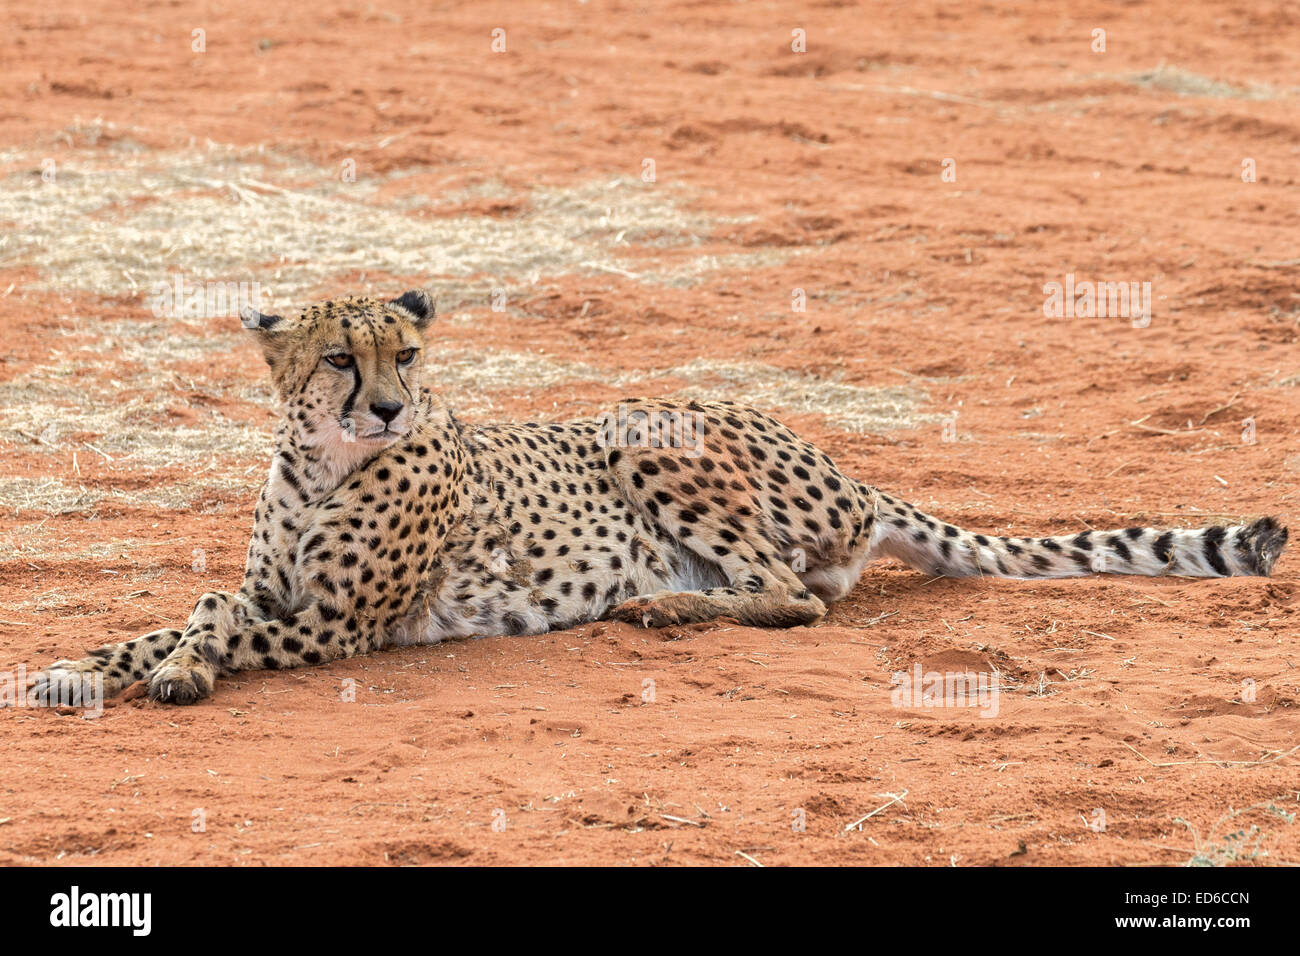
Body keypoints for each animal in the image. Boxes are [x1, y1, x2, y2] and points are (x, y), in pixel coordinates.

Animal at [26, 289, 1289, 706]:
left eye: (406, 357)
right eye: (340, 358)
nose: (385, 408)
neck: (322, 460)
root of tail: (850, 466)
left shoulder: (339, 625)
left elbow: (216, 619)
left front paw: (175, 671)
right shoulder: (288, 593)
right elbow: (178, 611)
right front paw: (75, 668)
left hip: (641, 425)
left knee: (792, 595)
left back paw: (664, 607)